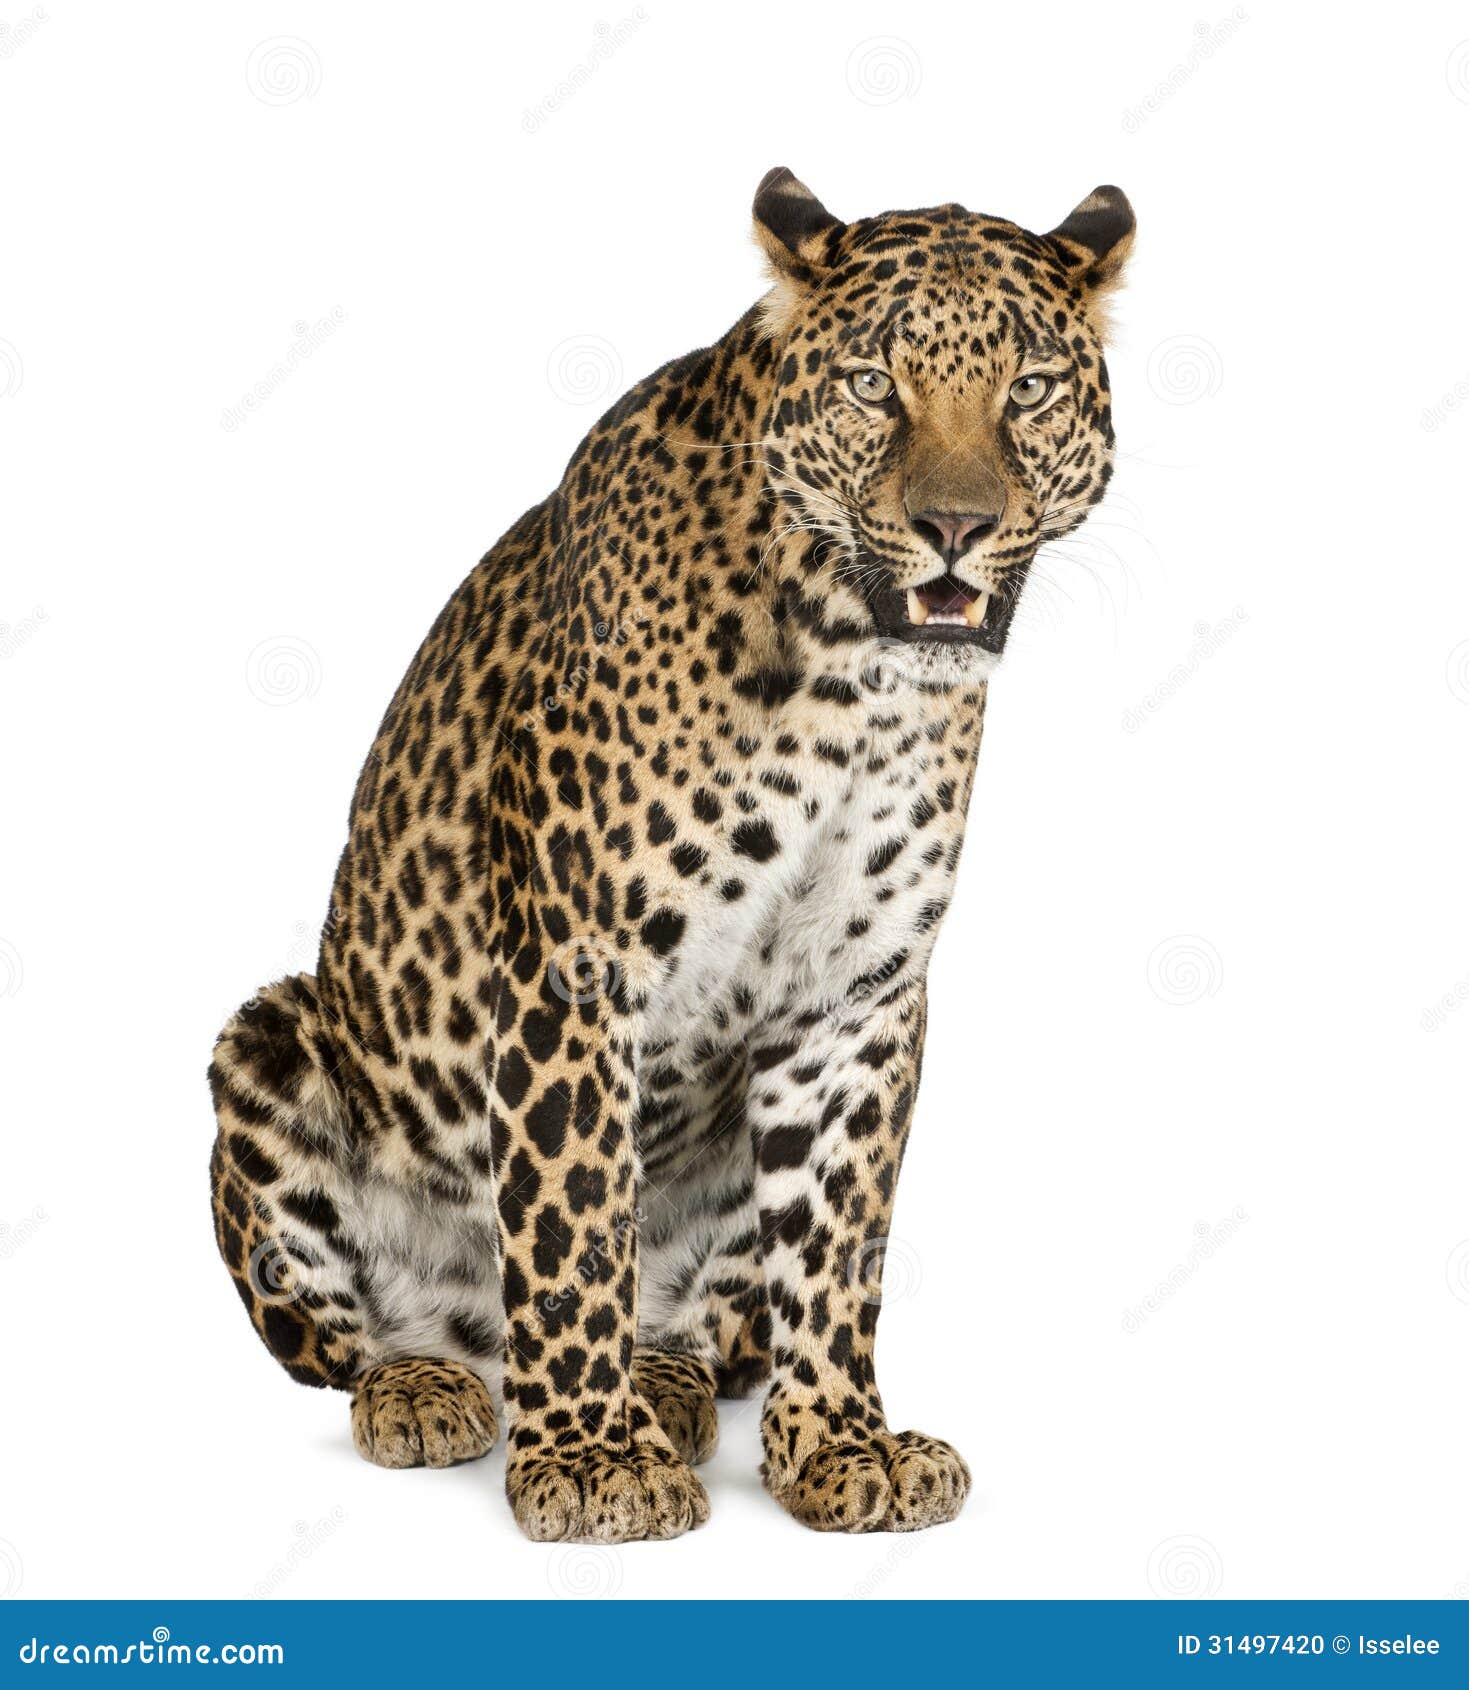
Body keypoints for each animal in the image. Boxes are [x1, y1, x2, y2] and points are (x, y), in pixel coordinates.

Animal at [208, 168, 1134, 1543]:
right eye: (873, 383)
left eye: (1026, 388)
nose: (954, 527)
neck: (854, 676)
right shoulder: (576, 969)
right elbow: (574, 1216)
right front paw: (592, 1463)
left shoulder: (855, 995)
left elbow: (837, 1241)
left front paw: (841, 1445)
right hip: (268, 1041)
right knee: (349, 1337)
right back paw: (430, 1388)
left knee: (706, 1322)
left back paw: (666, 1383)